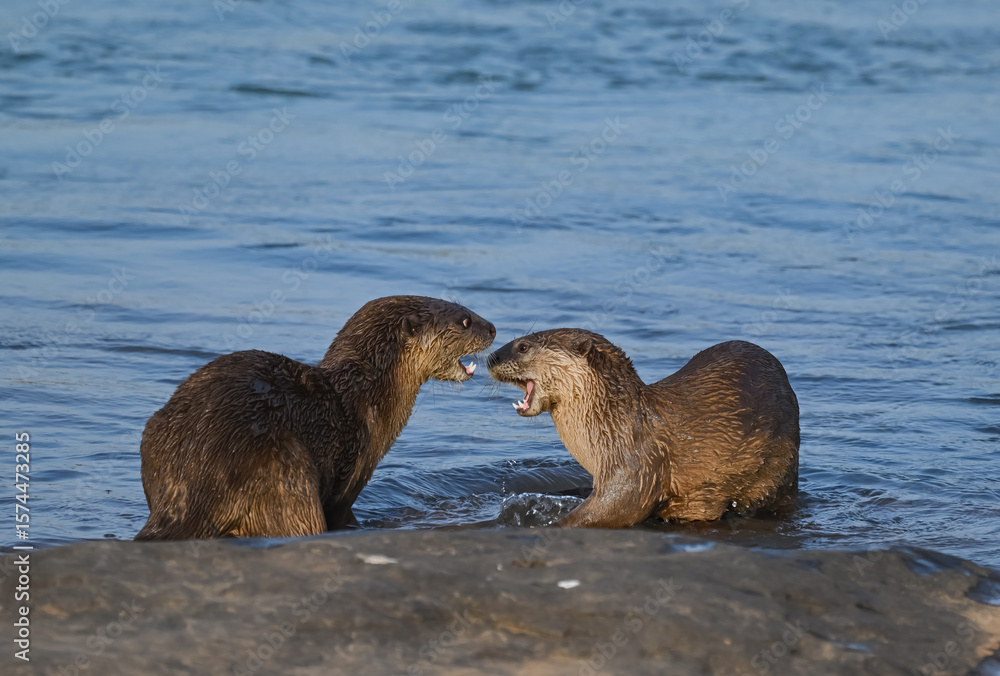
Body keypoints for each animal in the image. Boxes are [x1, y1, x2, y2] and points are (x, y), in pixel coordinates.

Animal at [135, 296, 495, 540]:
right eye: (465, 320)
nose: (492, 327)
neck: (366, 396)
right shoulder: (355, 470)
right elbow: (341, 510)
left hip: (153, 436)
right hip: (284, 467)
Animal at [488, 330, 798, 528]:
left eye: (523, 346)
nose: (491, 357)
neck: (613, 424)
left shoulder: (637, 464)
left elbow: (618, 507)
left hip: (778, 464)